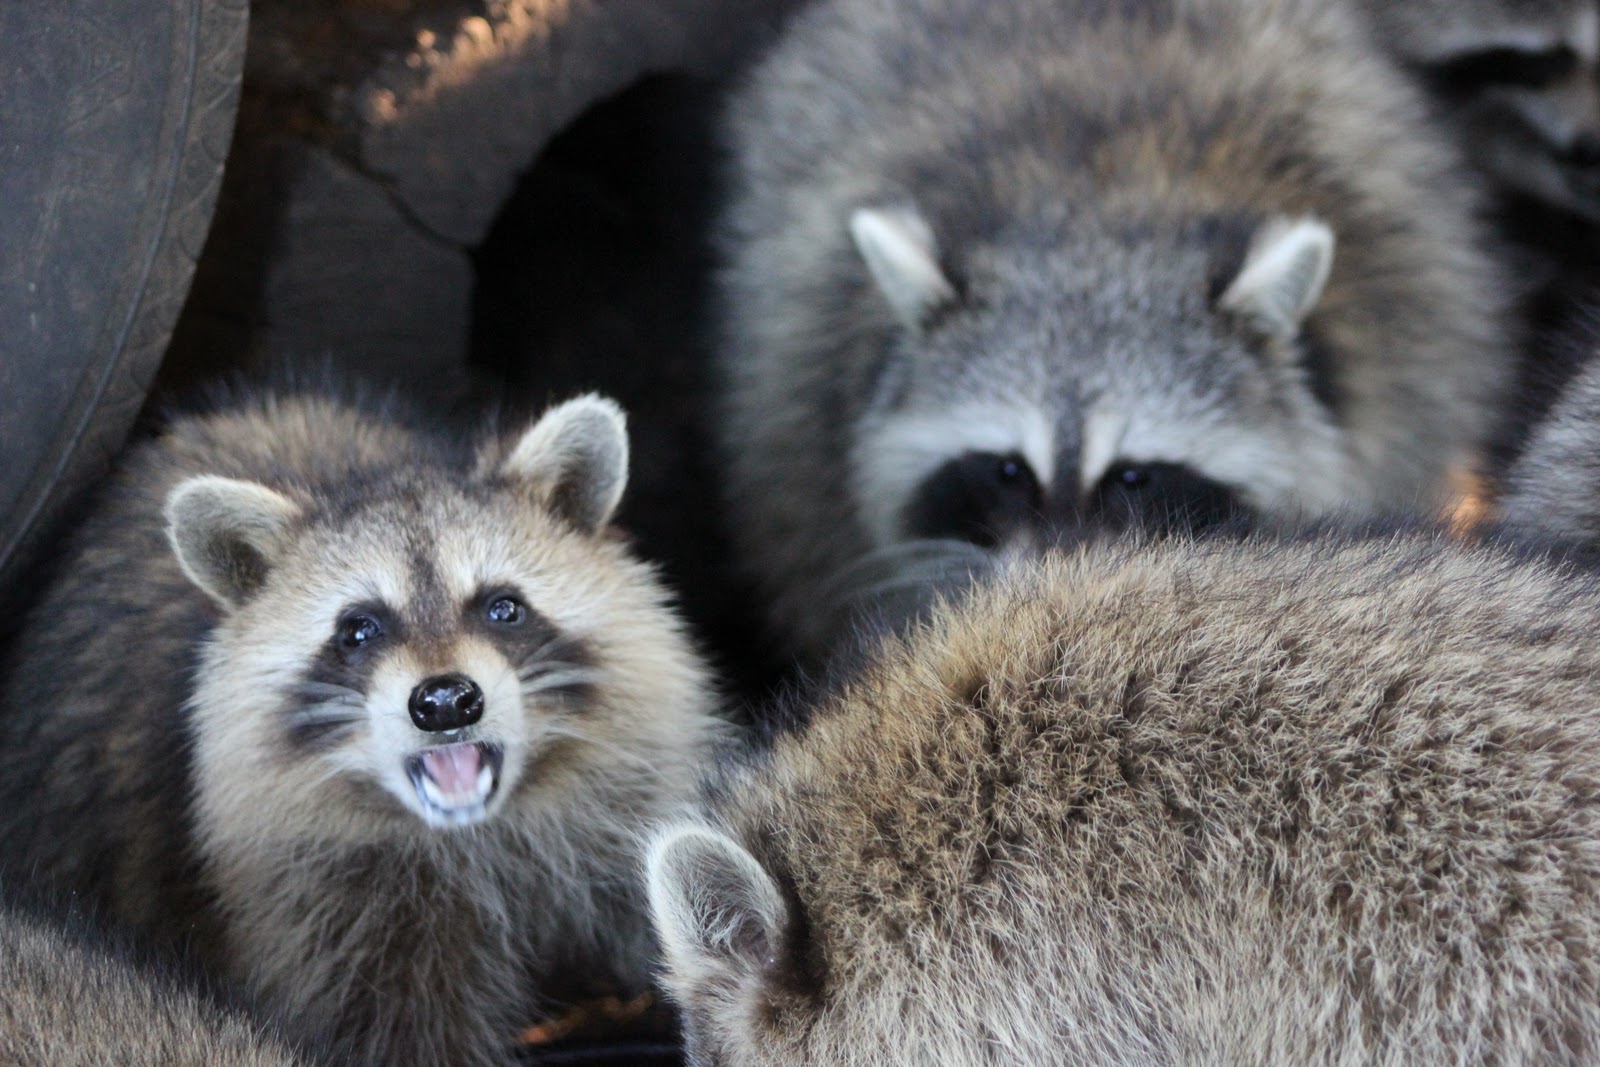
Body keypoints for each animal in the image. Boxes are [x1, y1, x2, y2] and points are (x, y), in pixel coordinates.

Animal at [715, 0, 1509, 658]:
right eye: (1009, 470)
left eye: (1133, 476)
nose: (1048, 596)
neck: (1095, 212)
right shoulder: (806, 418)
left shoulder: (1398, 369)